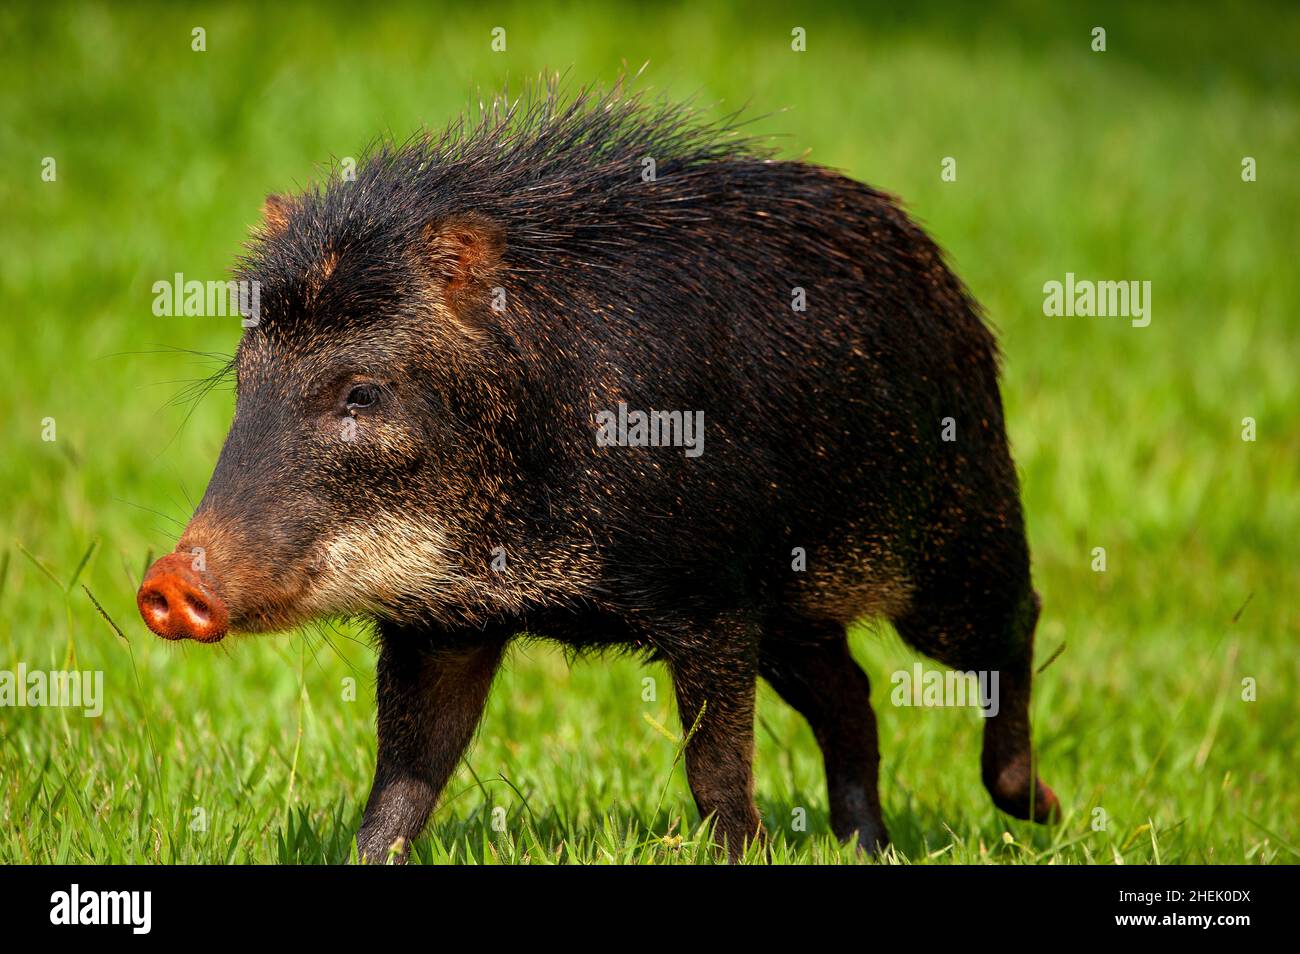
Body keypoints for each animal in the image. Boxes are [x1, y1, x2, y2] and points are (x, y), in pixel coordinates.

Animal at [137, 83, 1058, 863]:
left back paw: (1036, 807)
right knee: (854, 695)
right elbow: (401, 788)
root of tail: (946, 284)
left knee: (1014, 625)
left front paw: (744, 852)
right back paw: (869, 847)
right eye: (246, 380)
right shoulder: (441, 625)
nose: (169, 580)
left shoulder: (710, 599)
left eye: (361, 393)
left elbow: (714, 774)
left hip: (957, 536)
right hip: (799, 614)